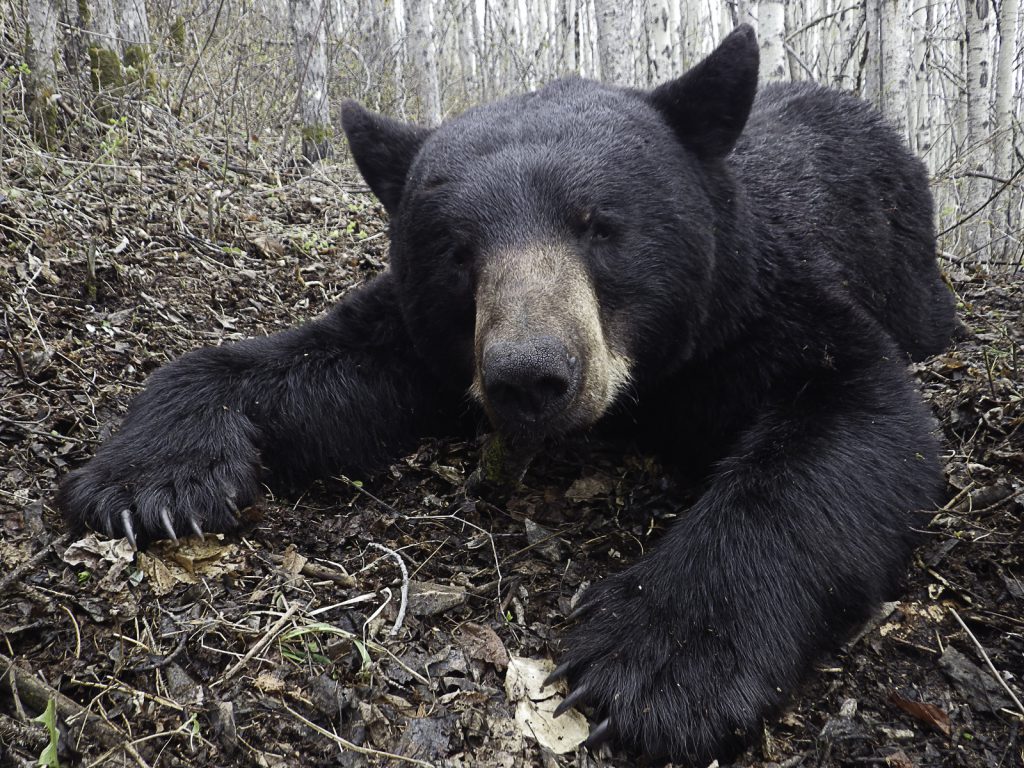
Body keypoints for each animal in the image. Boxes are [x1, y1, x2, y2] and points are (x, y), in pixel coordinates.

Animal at [59, 25, 957, 764]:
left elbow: (860, 421)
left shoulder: (759, 317)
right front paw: (151, 480)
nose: (529, 376)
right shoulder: (426, 339)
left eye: (600, 224)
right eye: (458, 249)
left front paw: (656, 659)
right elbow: (310, 366)